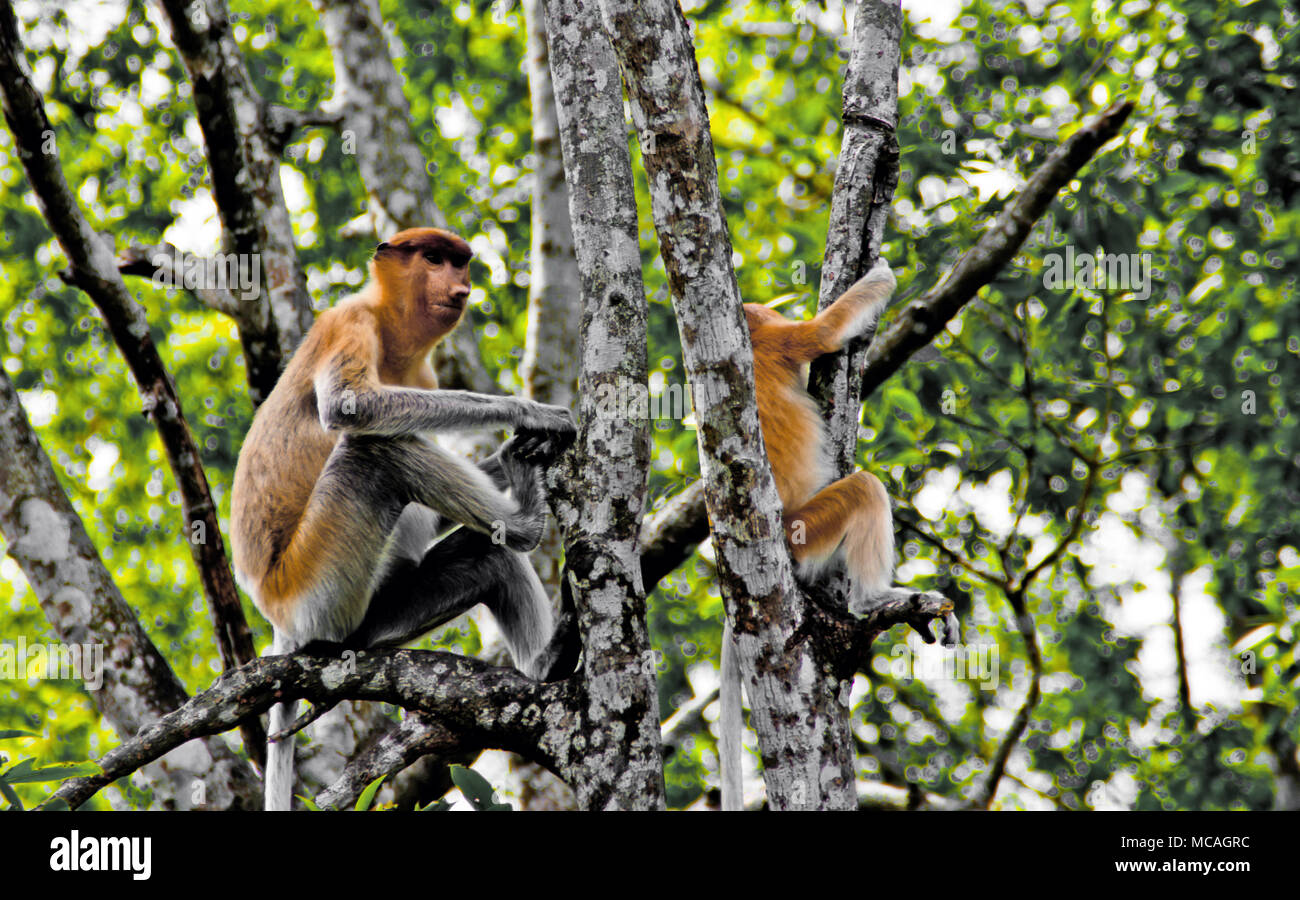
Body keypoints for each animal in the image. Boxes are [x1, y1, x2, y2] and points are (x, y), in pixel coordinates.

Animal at [229, 227, 577, 810]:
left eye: (461, 263)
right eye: (433, 258)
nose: (460, 288)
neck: (392, 330)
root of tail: (279, 618)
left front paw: (513, 450)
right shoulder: (350, 322)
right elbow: (353, 406)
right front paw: (528, 412)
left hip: (376, 610)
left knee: (485, 556)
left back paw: (545, 663)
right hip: (320, 589)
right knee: (373, 449)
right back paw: (528, 525)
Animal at [718, 257, 897, 811]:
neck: (749, 337)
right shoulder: (778, 339)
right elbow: (823, 334)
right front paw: (883, 273)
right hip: (806, 529)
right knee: (864, 488)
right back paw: (871, 599)